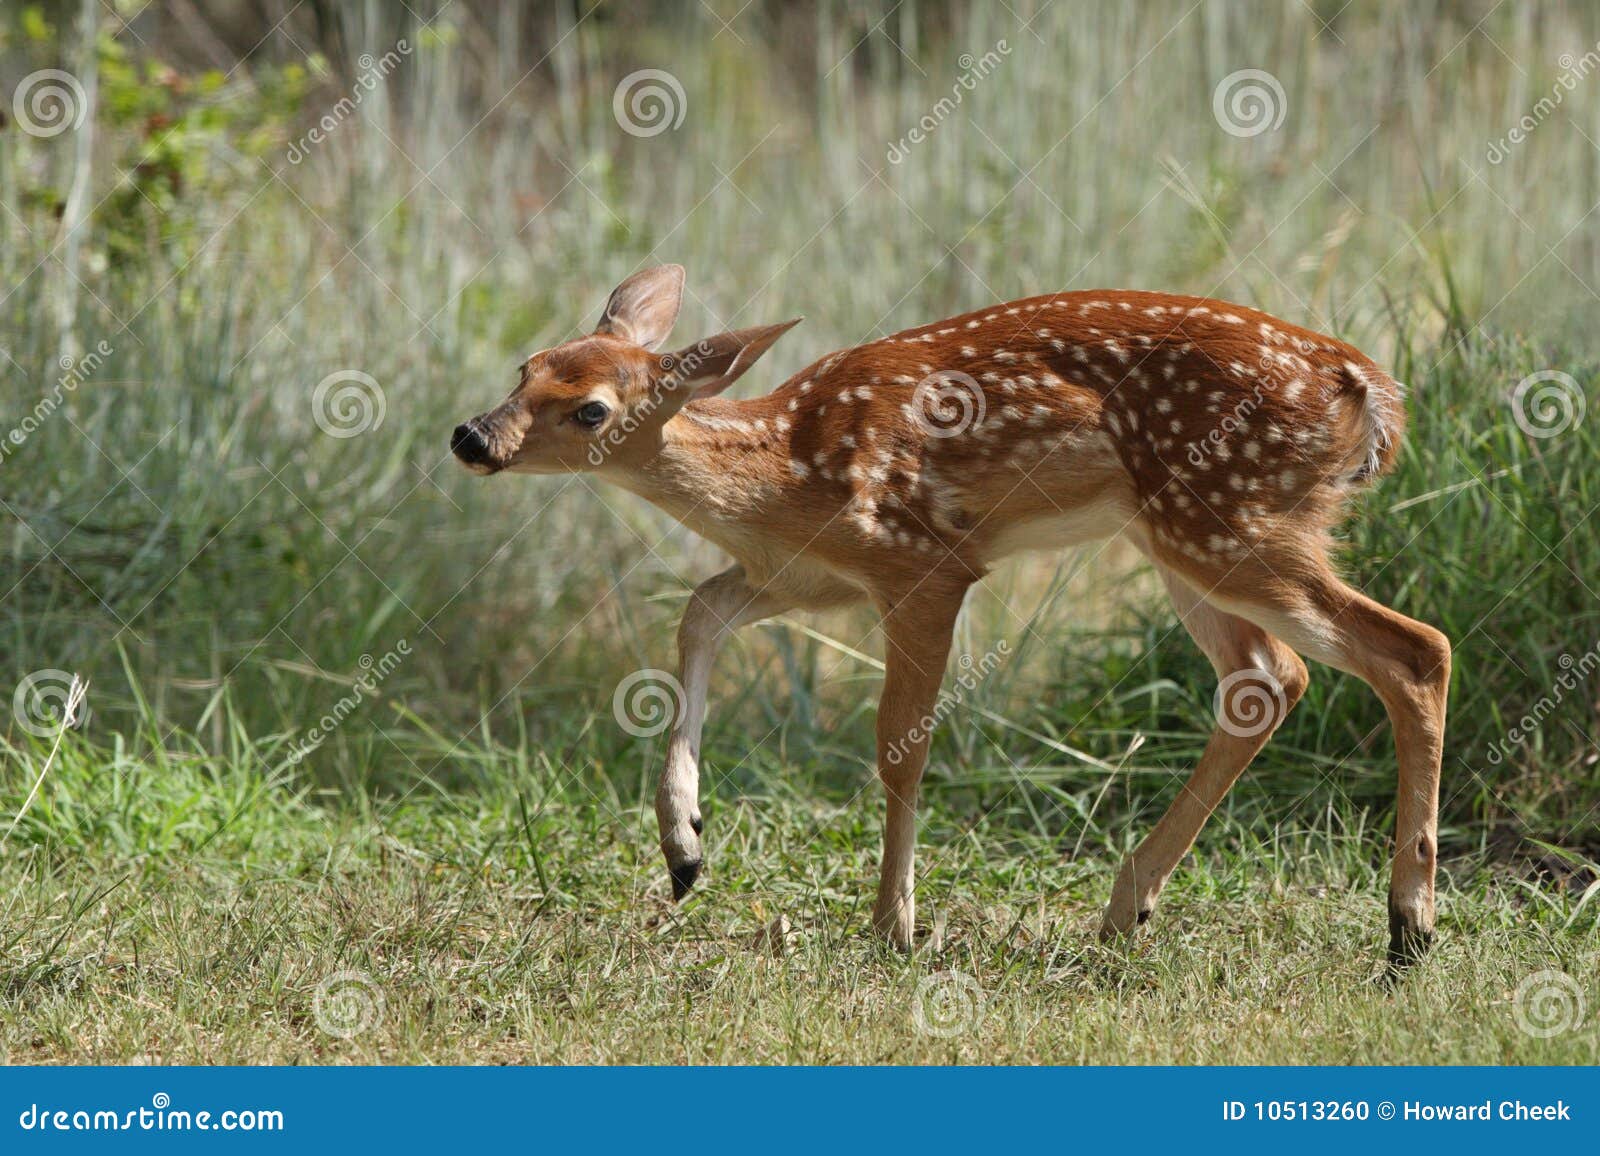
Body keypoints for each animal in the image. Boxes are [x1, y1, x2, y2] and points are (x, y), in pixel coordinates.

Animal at [451, 264, 1451, 968]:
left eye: (590, 411)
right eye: (526, 366)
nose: (471, 436)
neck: (782, 475)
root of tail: (1370, 387)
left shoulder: (922, 563)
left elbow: (900, 743)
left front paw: (892, 927)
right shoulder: (803, 576)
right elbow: (699, 613)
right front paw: (684, 848)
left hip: (1230, 519)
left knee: (1414, 649)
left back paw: (1407, 929)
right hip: (1188, 539)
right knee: (1268, 679)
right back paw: (1126, 911)